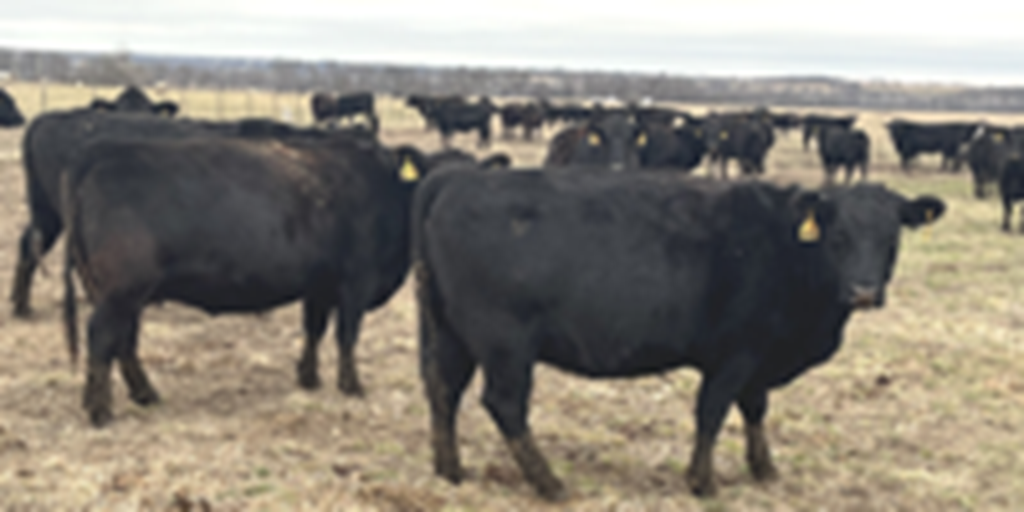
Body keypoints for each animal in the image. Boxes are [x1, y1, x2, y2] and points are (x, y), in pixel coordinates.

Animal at [60, 134, 434, 427]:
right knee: (102, 338)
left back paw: (143, 394)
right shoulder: (357, 281)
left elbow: (314, 330)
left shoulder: (319, 287)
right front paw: (352, 386)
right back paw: (101, 411)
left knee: (123, 341)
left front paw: (309, 378)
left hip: (121, 294)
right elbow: (347, 336)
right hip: (121, 293)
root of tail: (103, 150)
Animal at [412, 171, 945, 500]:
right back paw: (550, 484)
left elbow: (754, 410)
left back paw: (449, 469)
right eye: (839, 235)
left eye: (892, 237)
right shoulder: (735, 354)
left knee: (444, 390)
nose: (864, 291)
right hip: (505, 342)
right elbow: (712, 412)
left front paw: (764, 469)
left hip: (452, 333)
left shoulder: (758, 360)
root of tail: (457, 179)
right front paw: (702, 482)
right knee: (504, 404)